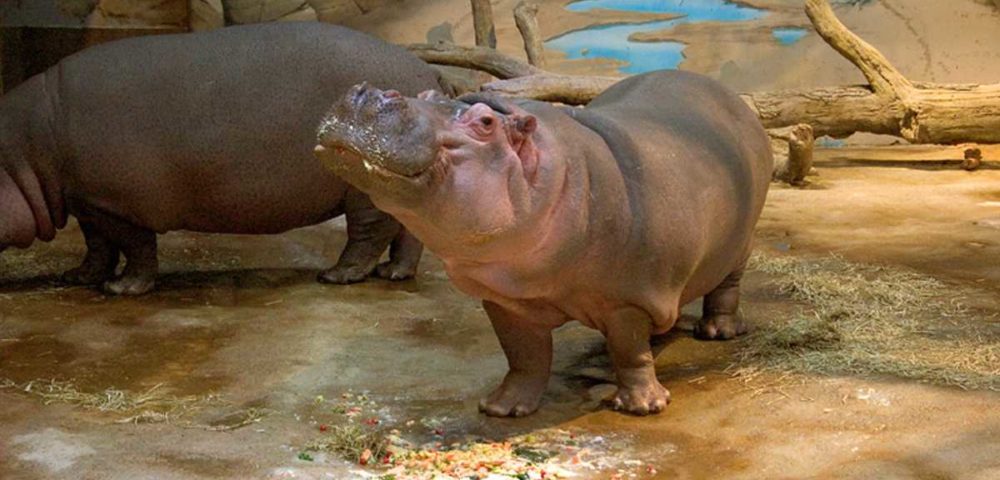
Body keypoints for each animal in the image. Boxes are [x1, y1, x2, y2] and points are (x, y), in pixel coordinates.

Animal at [0, 22, 446, 294]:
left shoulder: (119, 205)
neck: (21, 152)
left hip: (364, 187)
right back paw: (395, 273)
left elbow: (136, 247)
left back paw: (336, 276)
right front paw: (78, 277)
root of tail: (425, 68)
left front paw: (121, 289)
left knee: (369, 233)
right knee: (407, 233)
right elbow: (97, 245)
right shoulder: (87, 201)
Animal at [314, 70, 773, 416]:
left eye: (485, 123)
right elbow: (524, 355)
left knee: (727, 286)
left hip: (741, 243)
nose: (366, 93)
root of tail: (728, 94)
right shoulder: (504, 299)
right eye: (425, 95)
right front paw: (501, 408)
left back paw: (718, 332)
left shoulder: (626, 300)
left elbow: (629, 350)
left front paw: (643, 407)